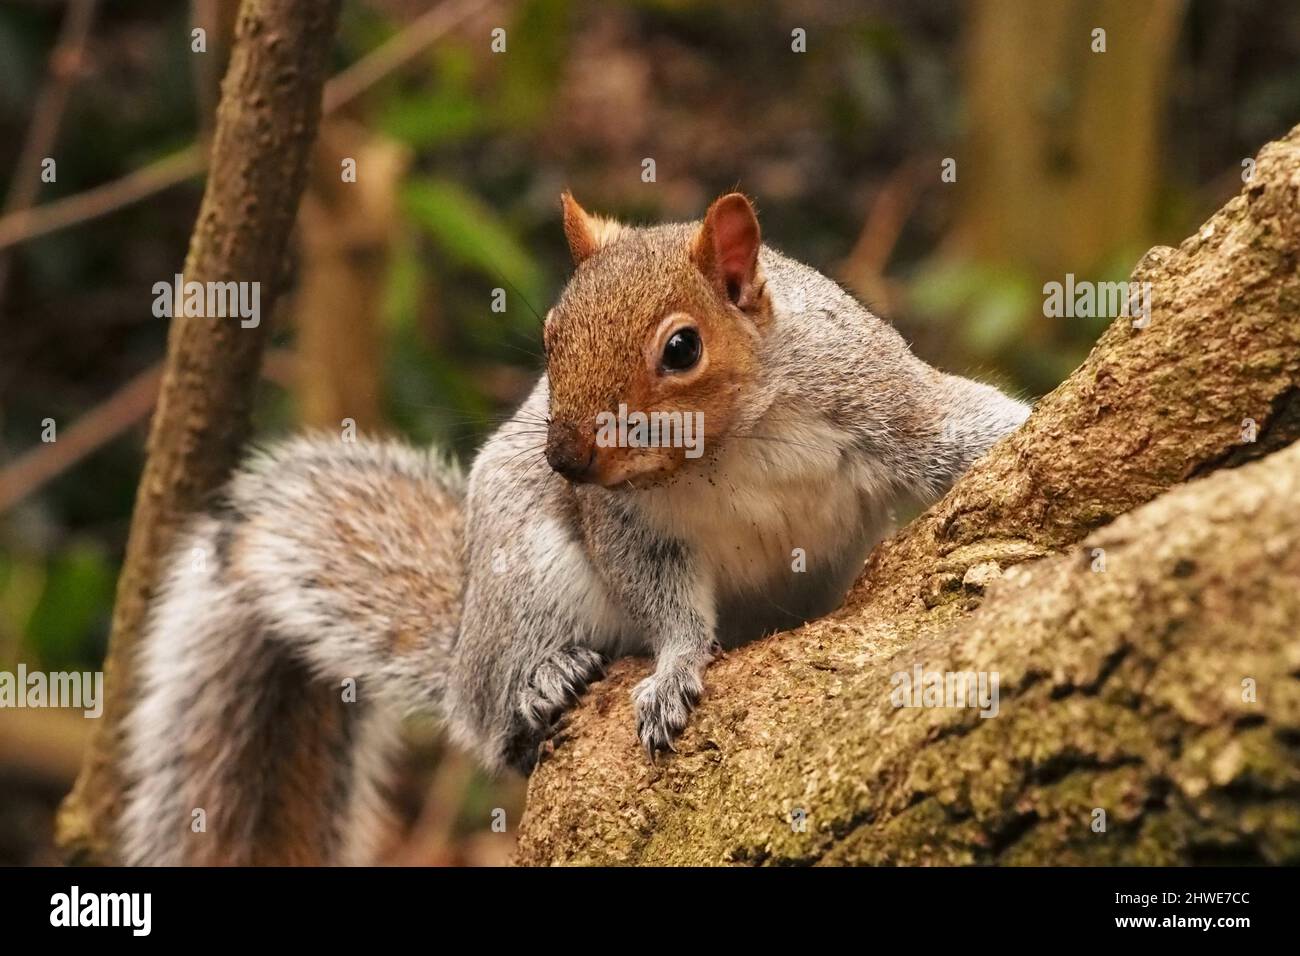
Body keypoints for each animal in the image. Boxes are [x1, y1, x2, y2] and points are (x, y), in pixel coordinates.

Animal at [119, 192, 1030, 865]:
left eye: (682, 348)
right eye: (553, 335)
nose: (563, 458)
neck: (733, 444)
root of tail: (463, 645)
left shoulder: (881, 400)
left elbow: (957, 426)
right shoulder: (622, 523)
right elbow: (663, 602)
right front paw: (672, 672)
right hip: (524, 570)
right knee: (491, 724)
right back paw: (539, 685)